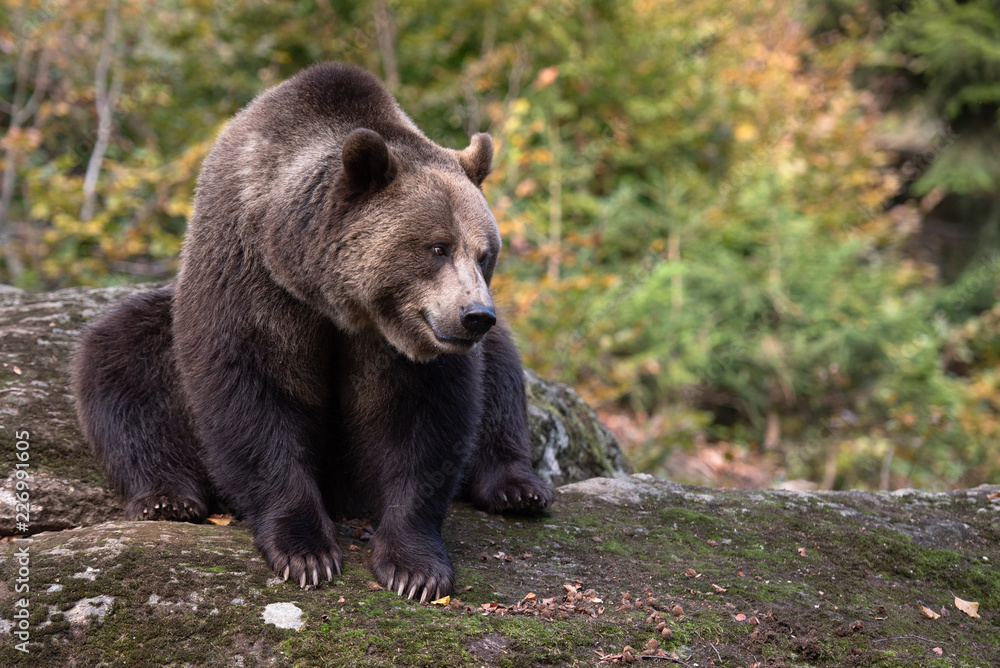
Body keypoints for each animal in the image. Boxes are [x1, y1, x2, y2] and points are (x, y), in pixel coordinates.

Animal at [71, 61, 554, 602]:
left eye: (485, 253)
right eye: (437, 247)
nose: (474, 315)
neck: (334, 297)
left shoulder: (402, 345)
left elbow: (422, 421)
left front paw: (414, 568)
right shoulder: (256, 283)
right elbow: (255, 398)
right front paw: (306, 552)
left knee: (503, 375)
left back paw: (518, 488)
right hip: (164, 330)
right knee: (121, 359)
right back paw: (166, 496)